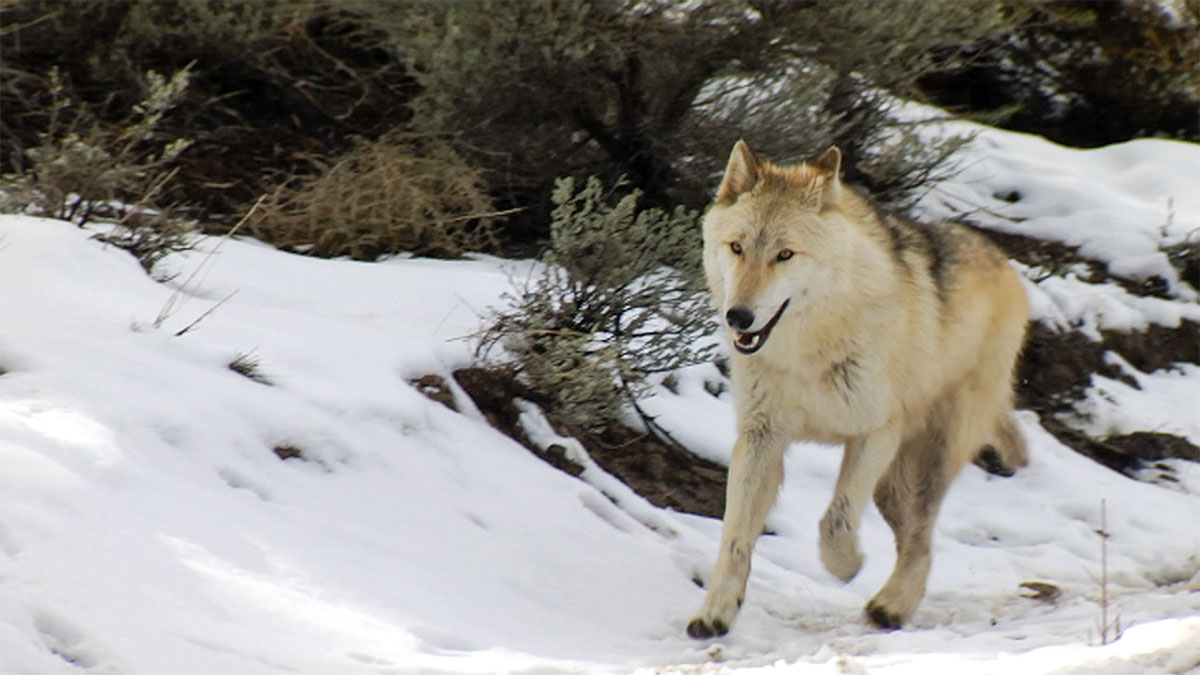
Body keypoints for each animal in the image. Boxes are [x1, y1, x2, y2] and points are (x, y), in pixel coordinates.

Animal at [686, 141, 1029, 638]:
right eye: (737, 248)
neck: (807, 353)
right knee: (918, 540)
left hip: (931, 458)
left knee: (921, 536)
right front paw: (715, 612)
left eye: (785, 255)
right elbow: (734, 536)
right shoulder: (760, 439)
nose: (739, 317)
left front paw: (846, 566)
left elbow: (836, 520)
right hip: (892, 485)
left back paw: (891, 607)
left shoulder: (874, 433)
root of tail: (1007, 264)